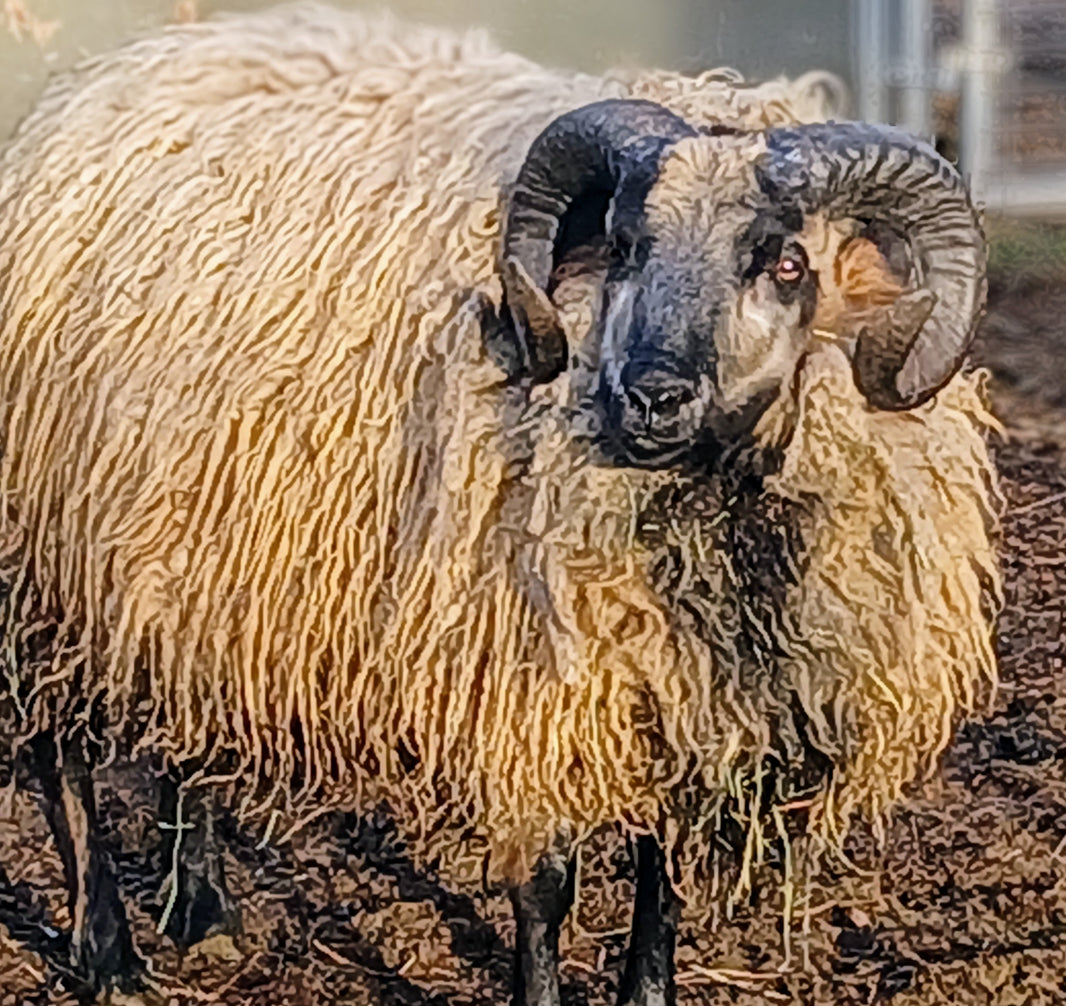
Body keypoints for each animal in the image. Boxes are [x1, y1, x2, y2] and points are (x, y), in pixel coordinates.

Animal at [0, 3, 1000, 1003]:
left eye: (786, 263)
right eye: (626, 246)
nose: (654, 395)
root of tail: (118, 72)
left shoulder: (683, 697)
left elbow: (662, 875)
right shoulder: (526, 674)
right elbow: (546, 885)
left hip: (185, 533)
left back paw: (203, 913)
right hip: (49, 554)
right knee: (61, 752)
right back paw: (109, 954)